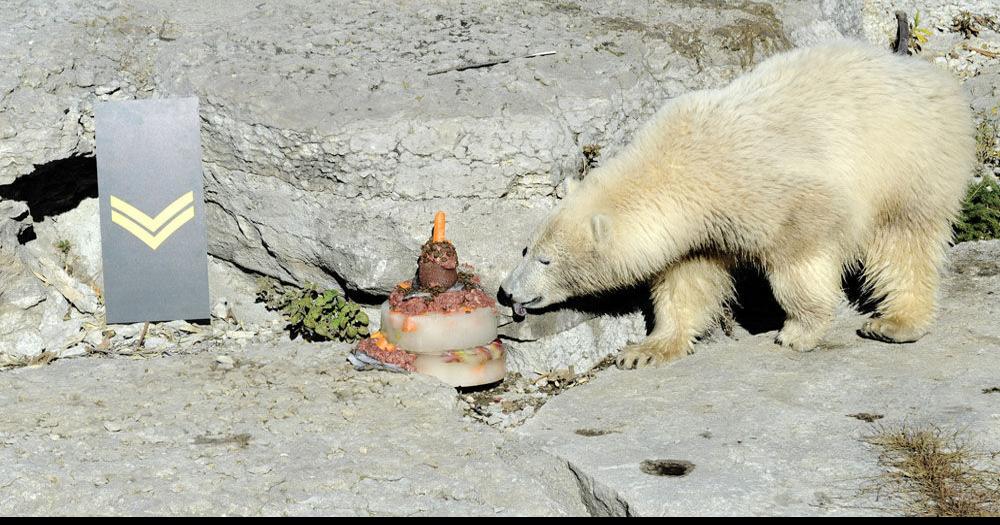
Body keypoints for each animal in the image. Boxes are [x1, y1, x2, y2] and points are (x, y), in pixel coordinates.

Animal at [500, 41, 976, 369]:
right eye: (525, 249)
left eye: (544, 260)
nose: (507, 291)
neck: (683, 168)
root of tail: (928, 73)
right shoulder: (700, 230)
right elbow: (687, 283)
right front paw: (646, 350)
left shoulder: (780, 197)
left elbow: (801, 258)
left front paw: (798, 331)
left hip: (907, 159)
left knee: (904, 240)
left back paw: (895, 324)